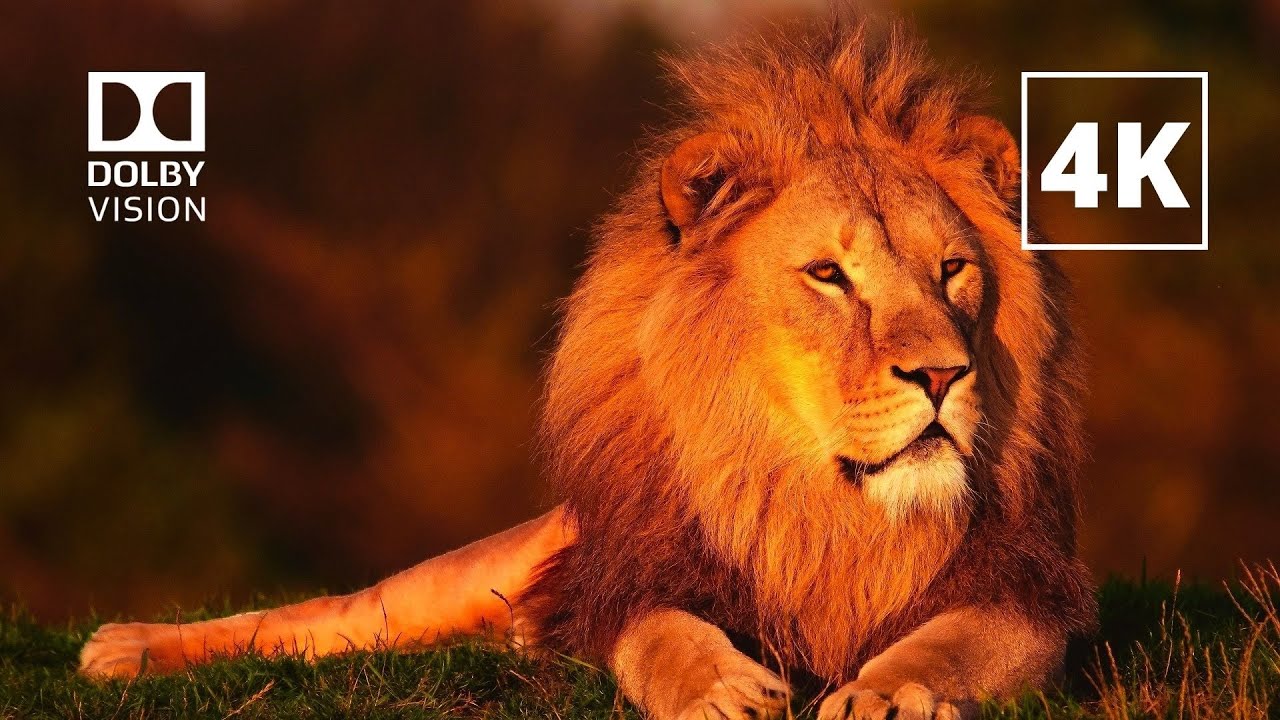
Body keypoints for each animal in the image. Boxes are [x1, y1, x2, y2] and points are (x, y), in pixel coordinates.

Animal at [79, 19, 1096, 720]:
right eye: (828, 276)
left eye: (952, 270)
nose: (943, 376)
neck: (821, 509)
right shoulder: (633, 581)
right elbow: (661, 637)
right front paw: (721, 688)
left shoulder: (1026, 594)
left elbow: (953, 644)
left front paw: (887, 693)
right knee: (330, 616)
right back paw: (121, 648)